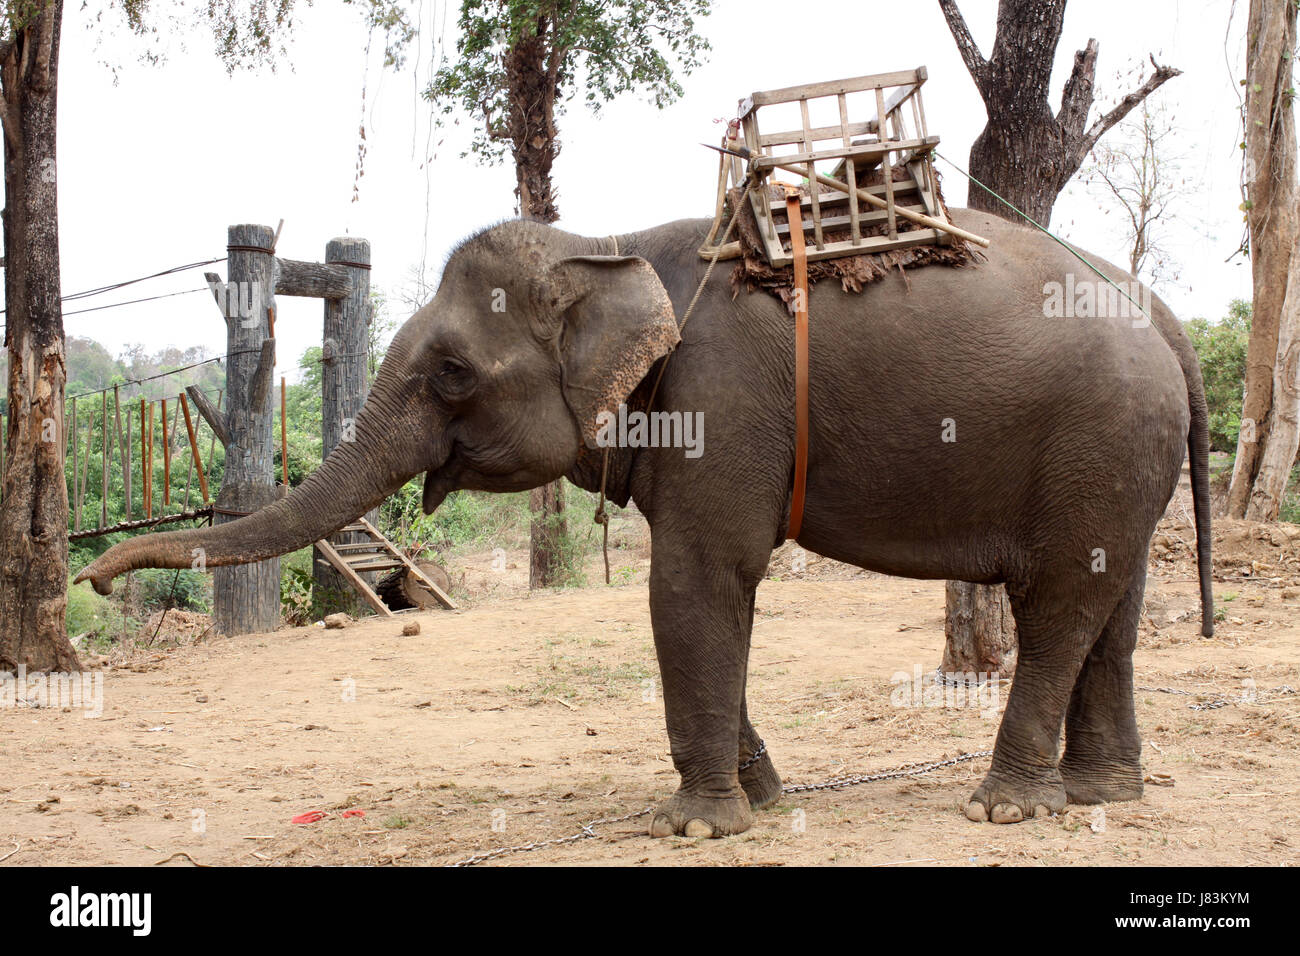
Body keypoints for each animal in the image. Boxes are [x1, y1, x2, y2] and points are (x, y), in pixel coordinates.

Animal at [78, 208, 1213, 838]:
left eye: (452, 374)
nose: (88, 578)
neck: (603, 248)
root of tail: (1164, 319)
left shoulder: (725, 398)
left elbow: (697, 581)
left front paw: (697, 827)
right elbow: (719, 594)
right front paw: (763, 795)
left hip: (1098, 440)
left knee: (1059, 605)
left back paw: (1003, 806)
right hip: (1122, 460)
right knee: (1111, 605)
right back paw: (1106, 794)